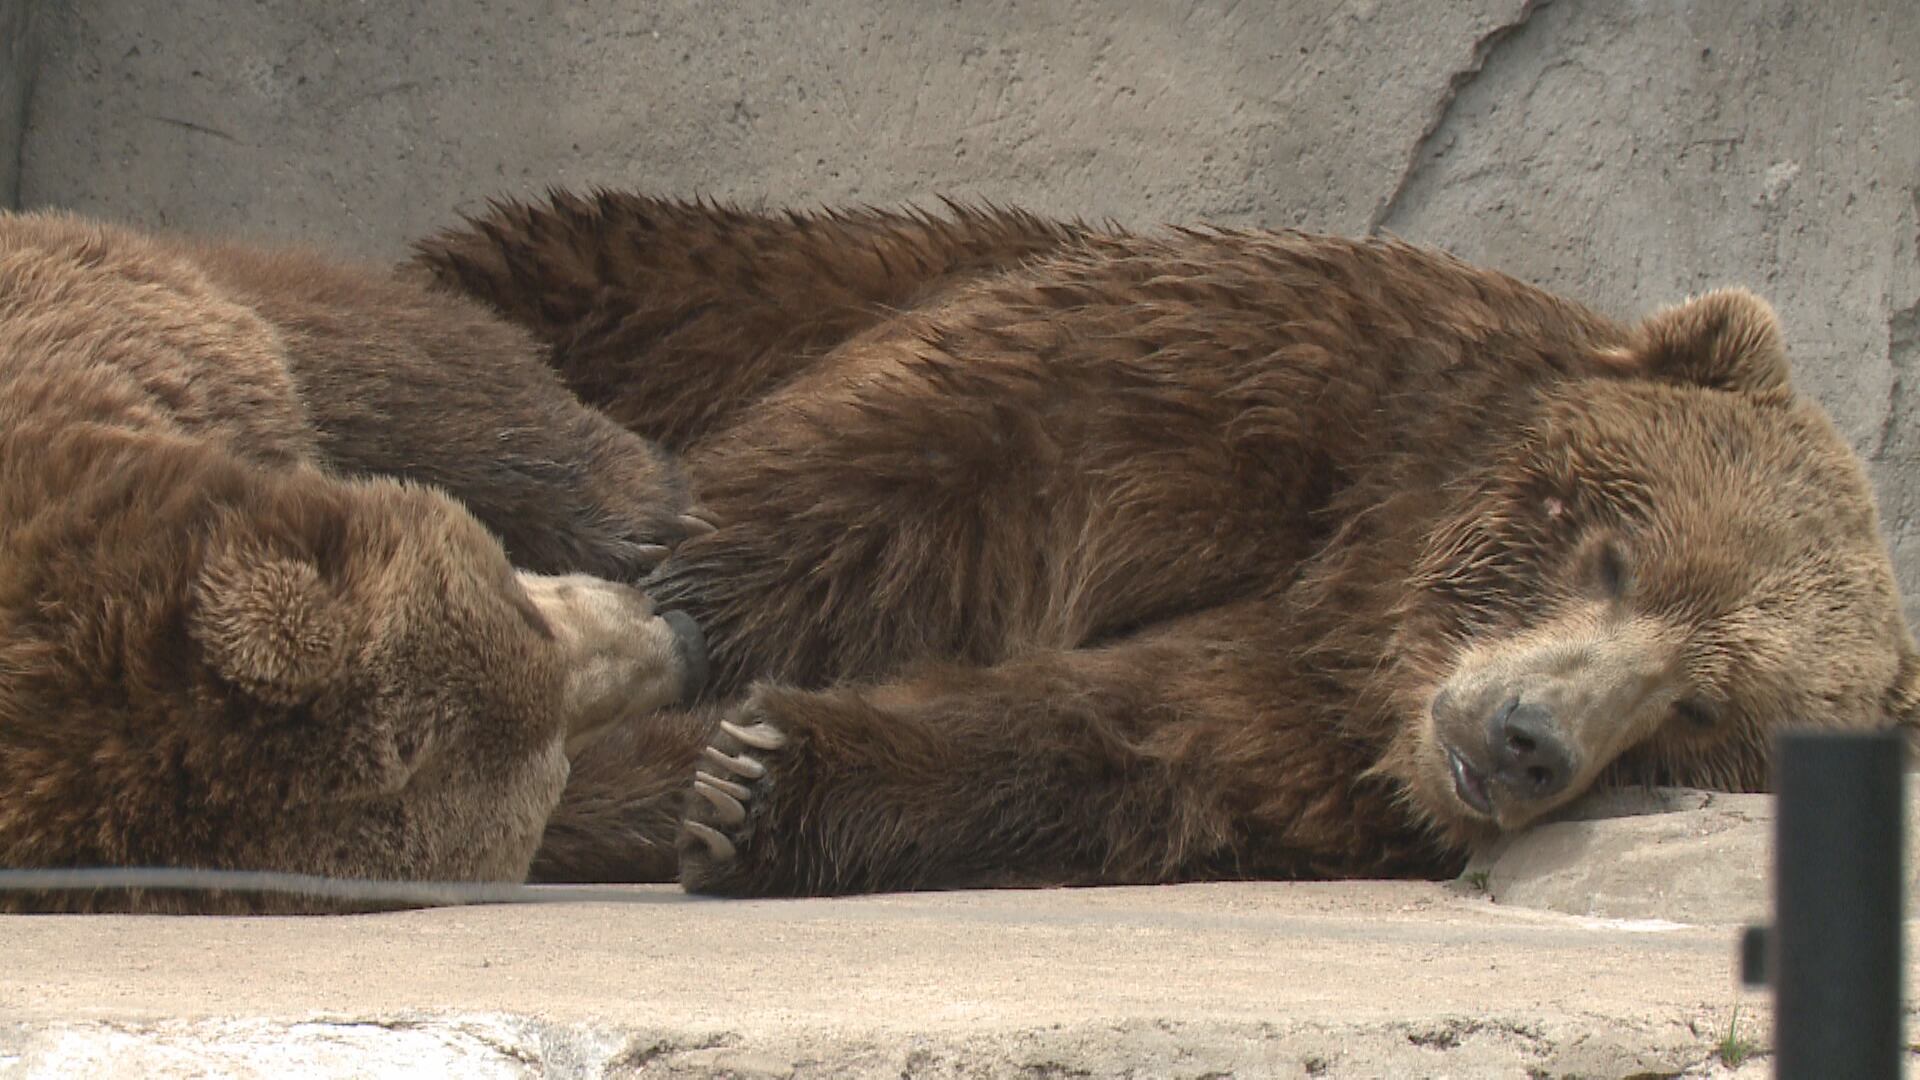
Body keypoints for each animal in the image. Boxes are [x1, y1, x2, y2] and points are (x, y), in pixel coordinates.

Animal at [415, 191, 1920, 898]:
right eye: (1614, 551)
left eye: (1701, 708)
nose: (1525, 741)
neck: (1363, 582)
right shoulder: (1234, 391)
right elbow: (885, 491)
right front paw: (654, 655)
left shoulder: (1311, 721)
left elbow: (1123, 733)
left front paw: (751, 779)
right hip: (622, 284)